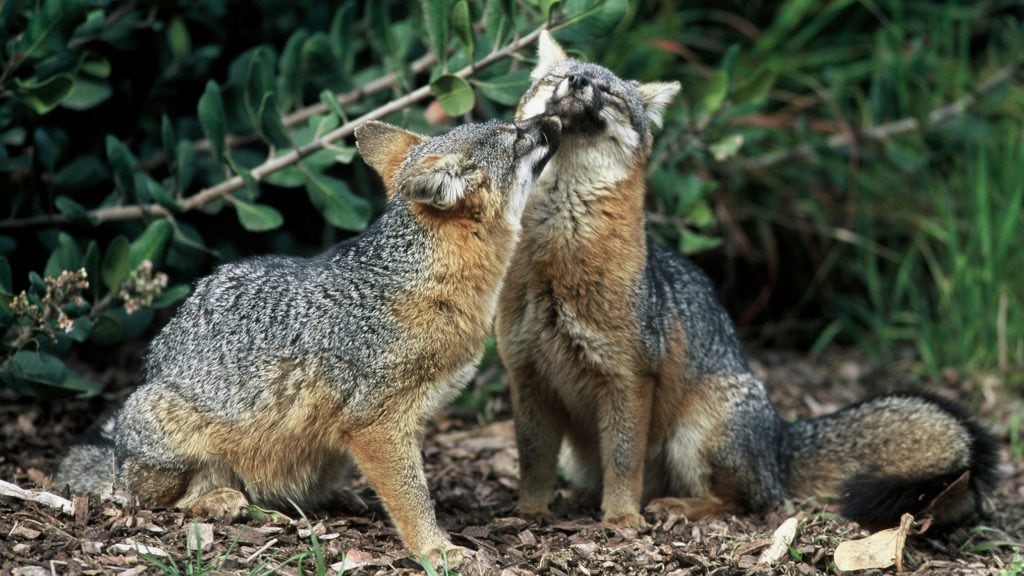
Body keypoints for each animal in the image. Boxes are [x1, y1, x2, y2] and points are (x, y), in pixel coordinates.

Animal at [55, 115, 562, 565]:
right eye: (517, 135)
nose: (555, 119)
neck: (424, 282)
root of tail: (117, 456)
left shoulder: (403, 424)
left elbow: (411, 484)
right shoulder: (376, 422)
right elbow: (413, 496)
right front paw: (434, 549)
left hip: (331, 453)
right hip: (176, 436)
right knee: (151, 501)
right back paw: (219, 499)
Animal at [495, 30, 999, 531]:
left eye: (609, 93)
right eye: (558, 79)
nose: (578, 80)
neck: (556, 254)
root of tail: (780, 438)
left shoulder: (628, 375)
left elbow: (623, 460)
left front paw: (621, 518)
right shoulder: (526, 373)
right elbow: (532, 459)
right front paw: (529, 510)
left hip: (695, 433)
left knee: (747, 501)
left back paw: (678, 507)